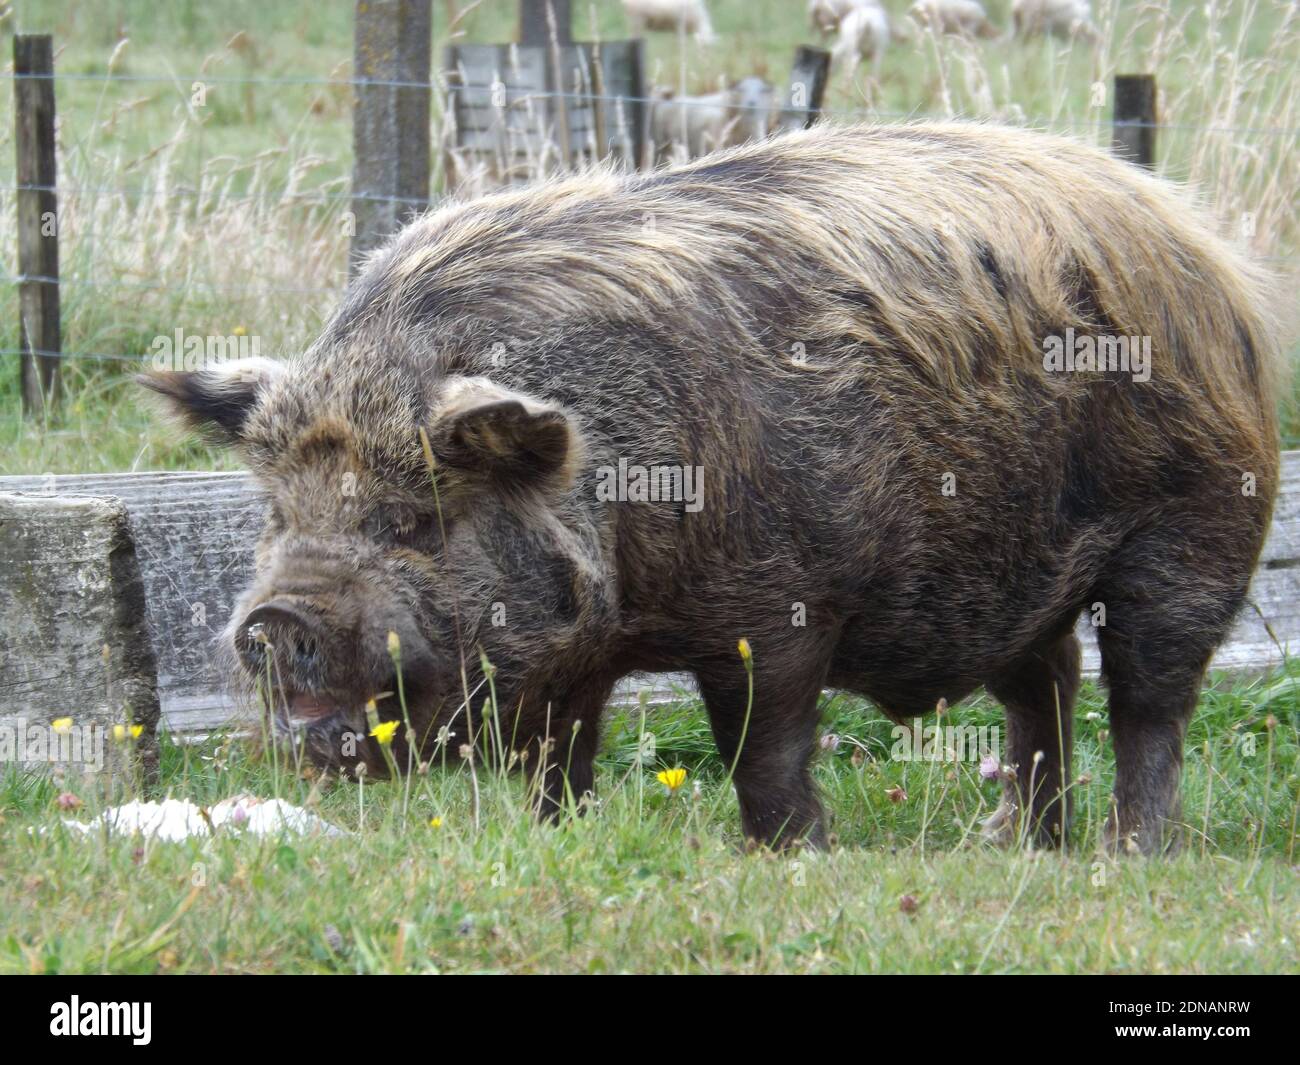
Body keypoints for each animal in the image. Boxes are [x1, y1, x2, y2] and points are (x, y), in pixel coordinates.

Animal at [142, 122, 1281, 855]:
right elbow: (559, 750)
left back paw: (1132, 852)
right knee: (1045, 682)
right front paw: (559, 838)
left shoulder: (781, 601)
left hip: (1194, 527)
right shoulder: (576, 650)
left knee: (1147, 695)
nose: (274, 619)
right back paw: (1020, 844)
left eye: (410, 521)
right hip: (1012, 579)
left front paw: (792, 854)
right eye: (278, 514)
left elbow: (759, 737)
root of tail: (1205, 255)